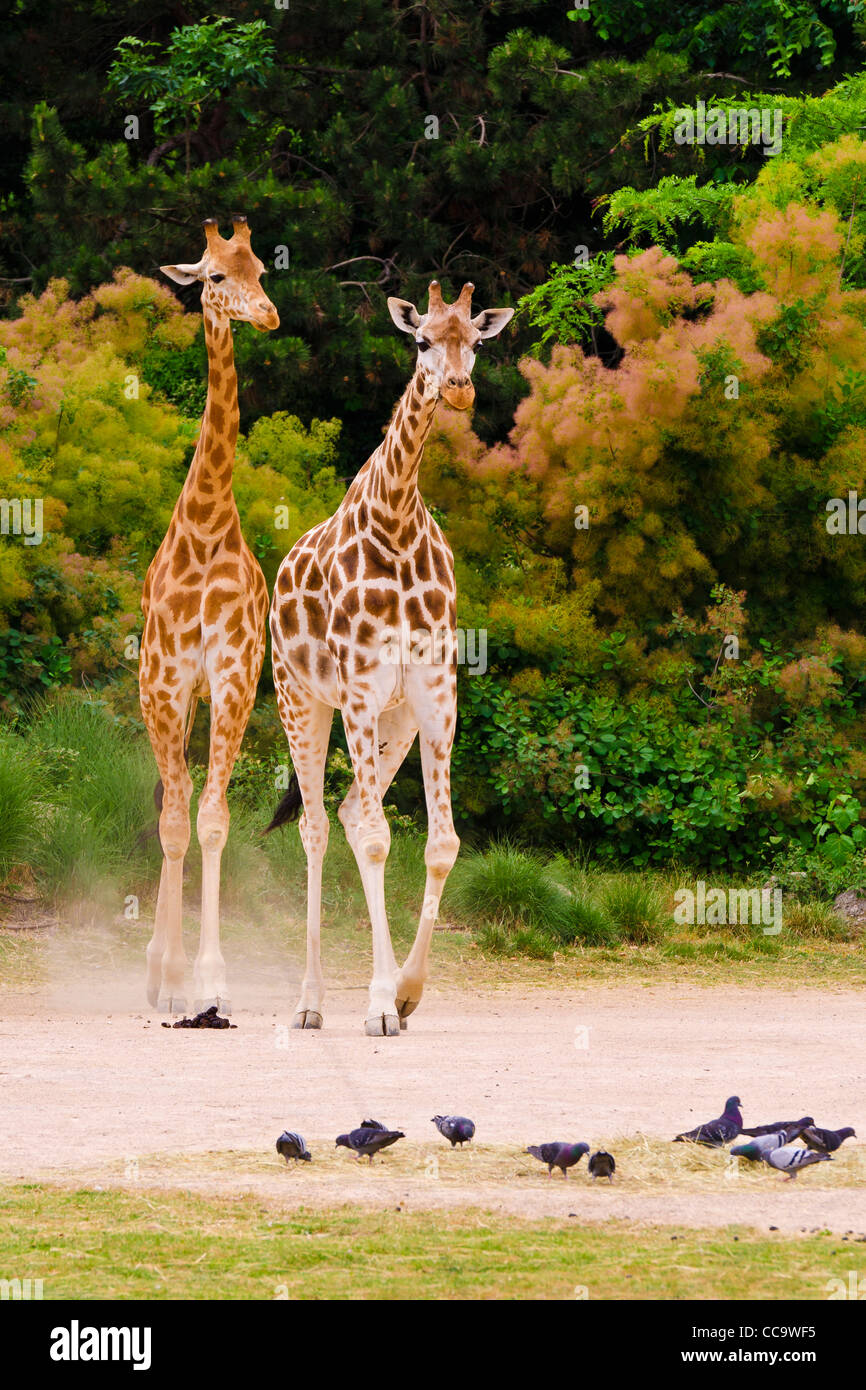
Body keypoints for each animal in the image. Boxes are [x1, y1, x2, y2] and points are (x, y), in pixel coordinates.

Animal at [268, 281, 513, 1035]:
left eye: (477, 340)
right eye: (422, 339)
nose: (459, 388)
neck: (398, 520)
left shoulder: (435, 696)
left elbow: (441, 843)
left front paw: (405, 992)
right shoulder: (358, 690)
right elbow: (379, 840)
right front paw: (379, 1003)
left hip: (392, 724)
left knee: (349, 813)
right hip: (301, 701)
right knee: (319, 826)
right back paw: (309, 1003)